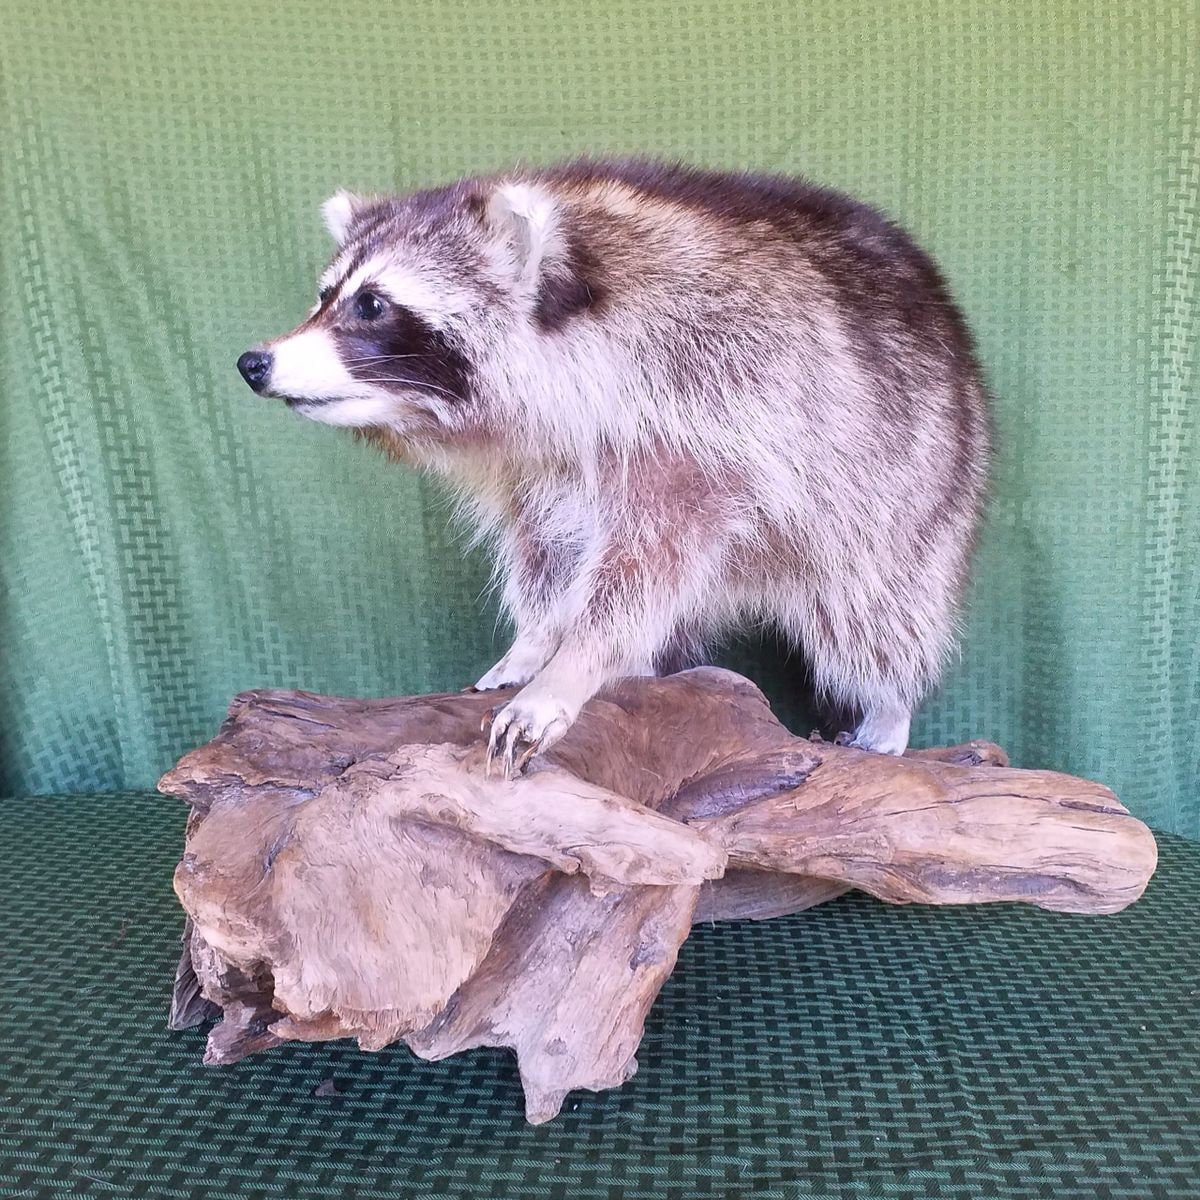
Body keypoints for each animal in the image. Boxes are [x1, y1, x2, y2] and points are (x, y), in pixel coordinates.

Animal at [238, 159, 991, 776]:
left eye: (372, 304)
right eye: (324, 297)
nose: (253, 362)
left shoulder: (714, 401)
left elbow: (646, 565)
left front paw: (574, 666)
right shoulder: (538, 466)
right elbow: (545, 552)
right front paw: (537, 640)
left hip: (912, 470)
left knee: (872, 604)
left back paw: (889, 704)